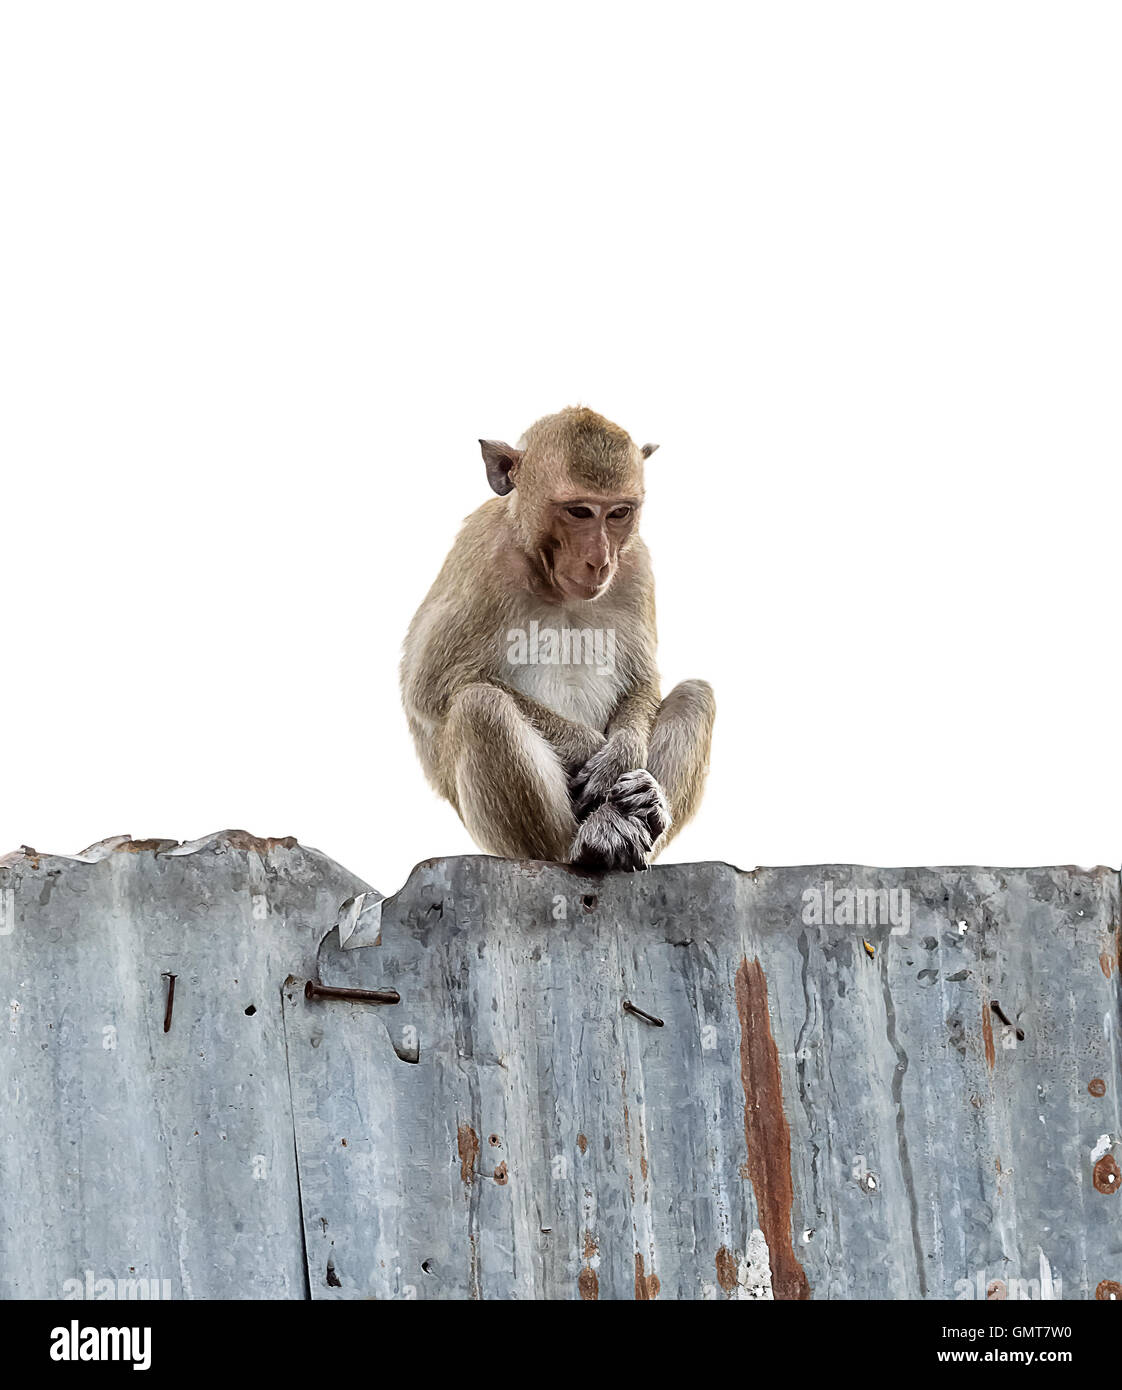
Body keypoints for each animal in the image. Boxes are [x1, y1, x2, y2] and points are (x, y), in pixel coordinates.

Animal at [400, 405, 715, 872]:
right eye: (579, 511)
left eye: (619, 512)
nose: (599, 562)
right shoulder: (485, 556)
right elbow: (429, 688)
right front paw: (589, 747)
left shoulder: (636, 565)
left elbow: (642, 681)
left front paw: (621, 755)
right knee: (481, 705)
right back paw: (584, 844)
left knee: (696, 695)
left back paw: (647, 809)